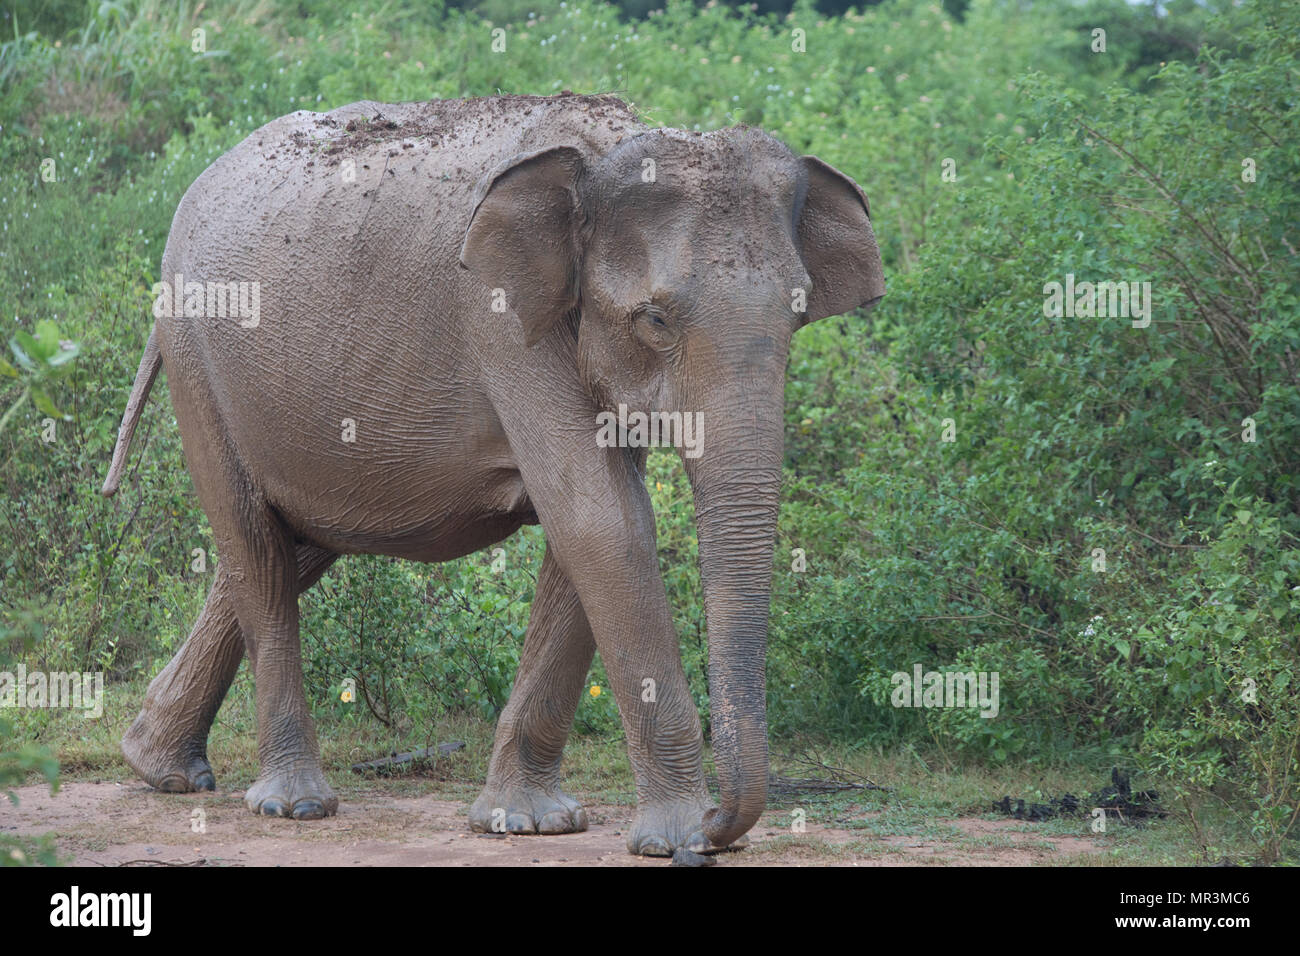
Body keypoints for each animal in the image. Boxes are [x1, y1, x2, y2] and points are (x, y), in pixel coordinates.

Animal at [104, 92, 885, 856]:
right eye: (656, 320)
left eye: (799, 314)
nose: (724, 824)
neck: (605, 150)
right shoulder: (500, 321)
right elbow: (603, 521)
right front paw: (678, 839)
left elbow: (590, 529)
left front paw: (532, 823)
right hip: (196, 357)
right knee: (254, 544)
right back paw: (292, 805)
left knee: (295, 546)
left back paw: (158, 766)